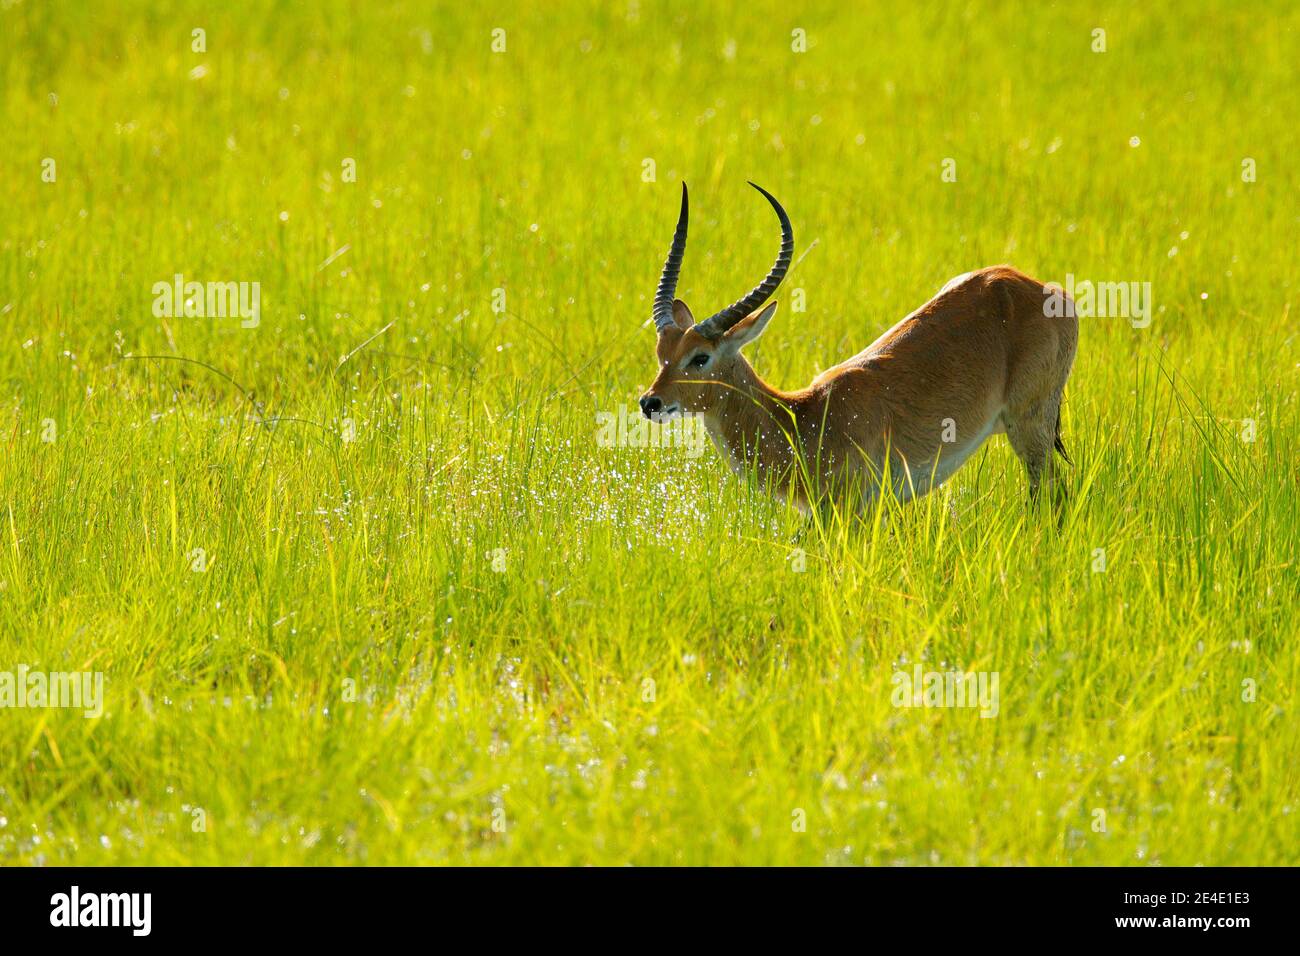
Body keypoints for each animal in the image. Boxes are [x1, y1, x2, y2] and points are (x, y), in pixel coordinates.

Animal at [638, 183, 1078, 514]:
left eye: (700, 357)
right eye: (662, 354)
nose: (650, 402)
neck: (803, 419)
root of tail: (1044, 289)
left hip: (1030, 428)